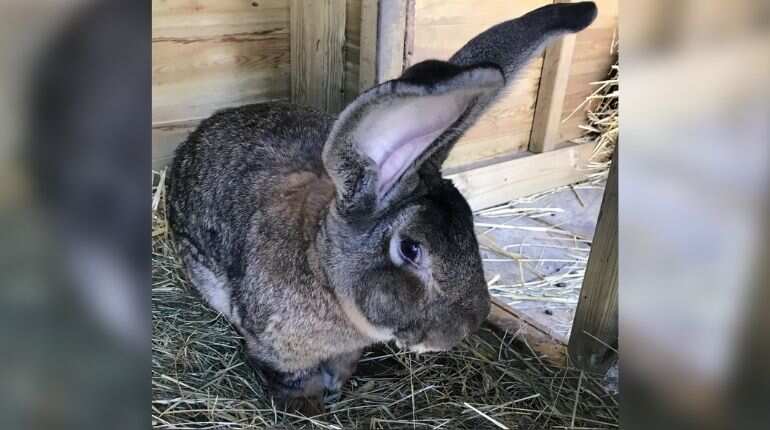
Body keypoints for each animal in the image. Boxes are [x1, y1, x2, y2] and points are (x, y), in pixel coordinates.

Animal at [167, 1, 597, 415]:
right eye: (410, 248)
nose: (467, 326)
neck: (321, 266)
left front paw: (337, 386)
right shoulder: (276, 349)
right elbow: (290, 378)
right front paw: (309, 407)